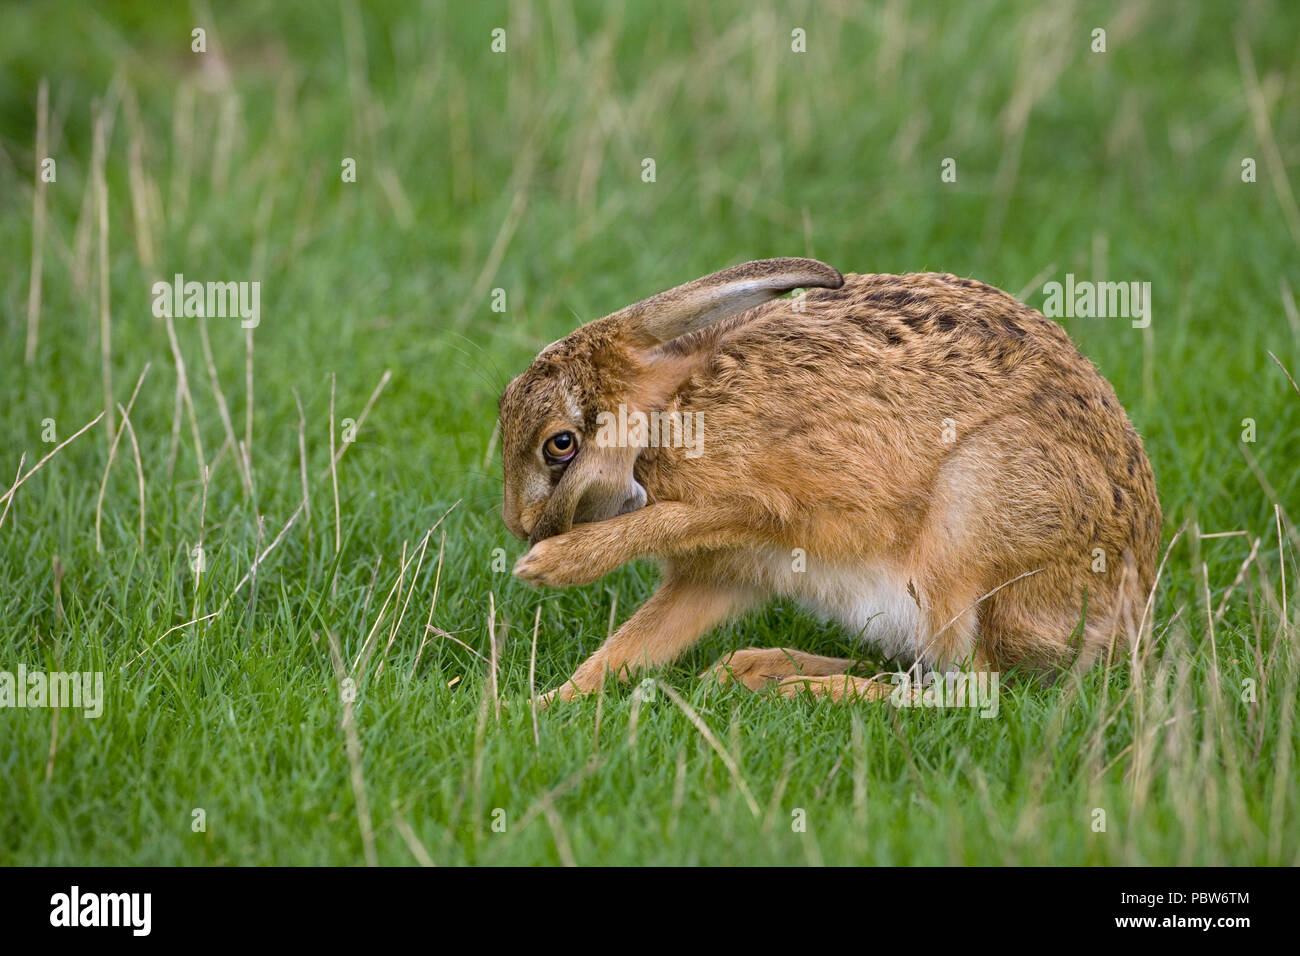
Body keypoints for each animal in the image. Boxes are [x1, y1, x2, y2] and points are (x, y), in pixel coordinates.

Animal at [499, 258, 1161, 704]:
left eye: (560, 445)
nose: (520, 527)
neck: (668, 414)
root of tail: (1128, 623)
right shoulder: (720, 571)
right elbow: (633, 645)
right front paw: (545, 706)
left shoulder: (765, 506)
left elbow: (676, 517)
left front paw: (552, 566)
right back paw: (749, 668)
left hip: (968, 532)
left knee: (973, 691)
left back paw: (798, 690)